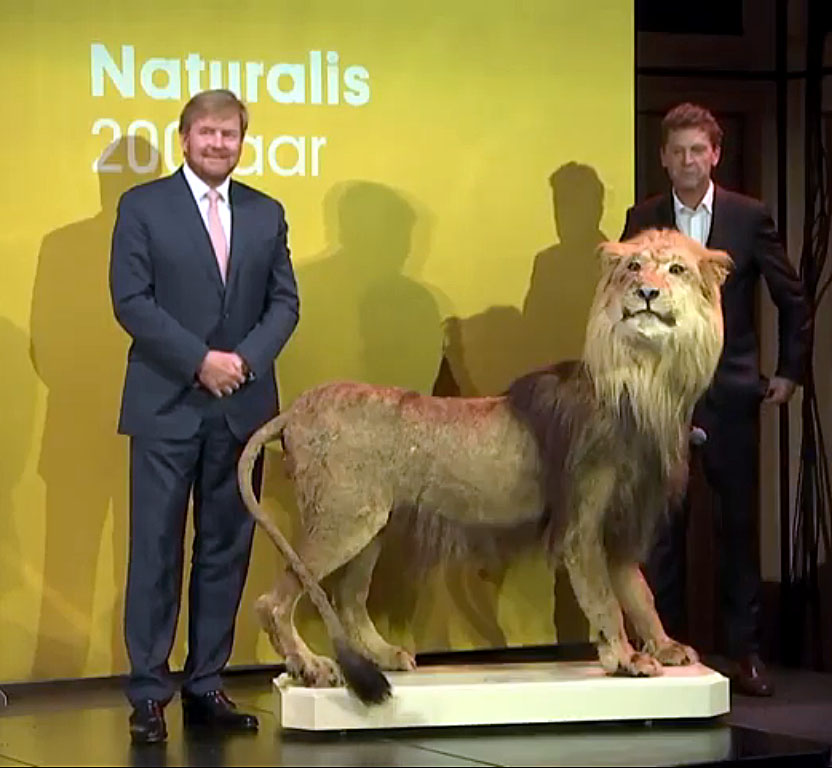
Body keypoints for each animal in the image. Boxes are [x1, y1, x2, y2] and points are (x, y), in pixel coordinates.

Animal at [237, 227, 733, 706]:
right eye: (633, 266)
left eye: (676, 269)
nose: (646, 291)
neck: (647, 380)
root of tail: (292, 412)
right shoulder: (581, 523)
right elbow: (605, 597)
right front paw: (626, 659)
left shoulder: (625, 519)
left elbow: (638, 591)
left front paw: (665, 647)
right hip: (342, 521)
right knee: (274, 601)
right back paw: (311, 666)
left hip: (370, 527)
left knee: (348, 599)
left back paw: (384, 656)